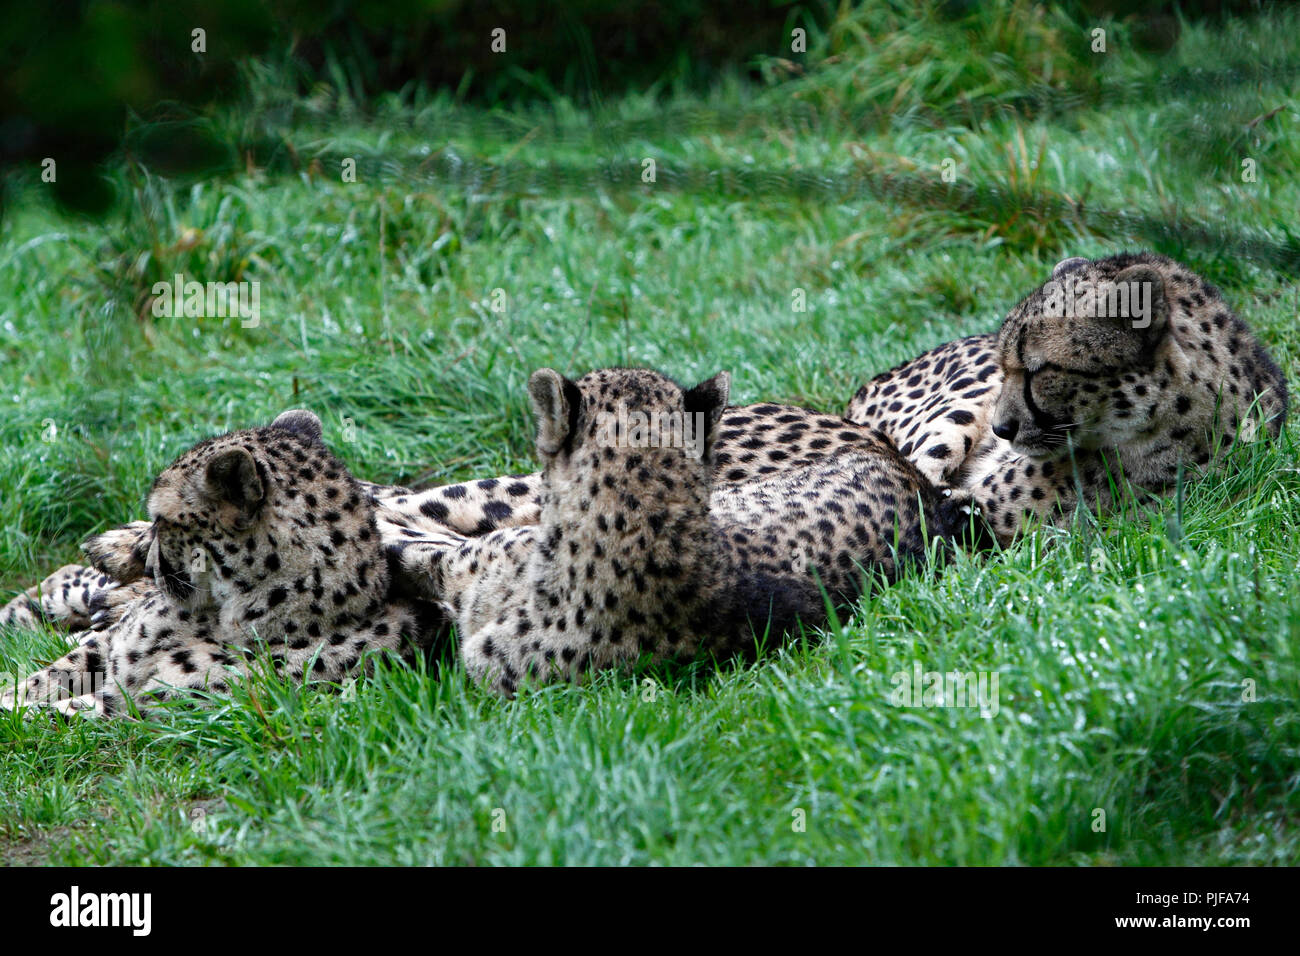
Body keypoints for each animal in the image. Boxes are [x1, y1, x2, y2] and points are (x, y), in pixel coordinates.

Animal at [1, 410, 439, 717]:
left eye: (162, 521)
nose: (150, 569)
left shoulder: (147, 706)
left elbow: (55, 713)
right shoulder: (109, 650)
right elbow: (46, 677)